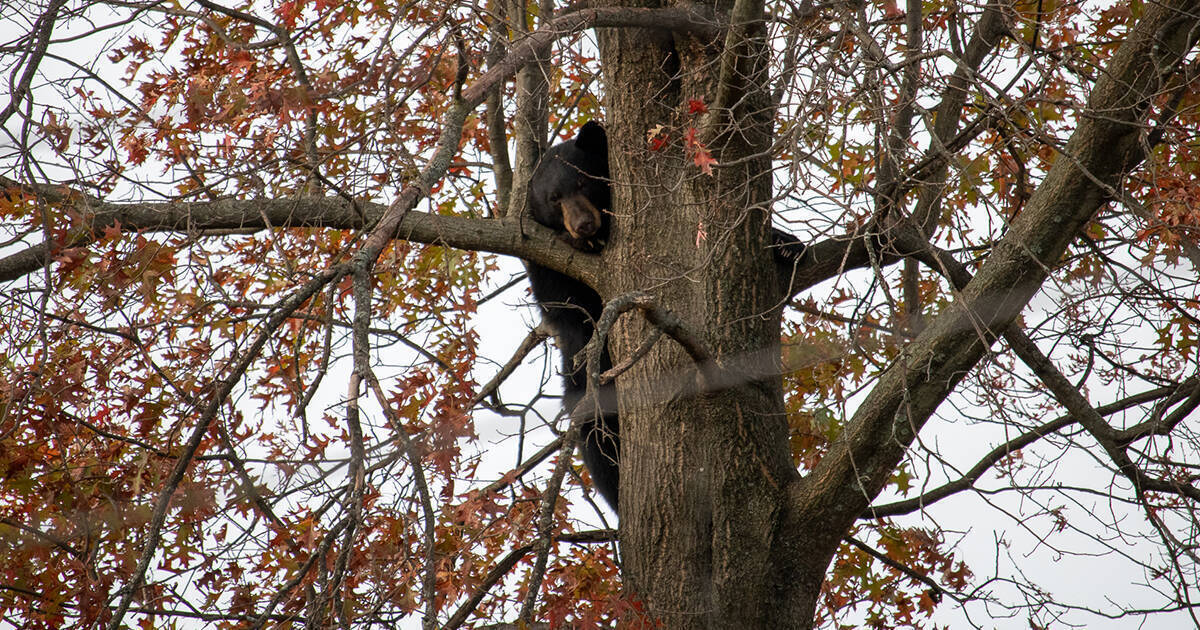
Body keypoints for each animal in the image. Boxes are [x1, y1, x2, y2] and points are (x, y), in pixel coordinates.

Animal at [524, 120, 808, 513]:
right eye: (554, 199)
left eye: (583, 183)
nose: (583, 225)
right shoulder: (542, 261)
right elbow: (564, 301)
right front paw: (584, 245)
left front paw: (787, 244)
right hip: (587, 385)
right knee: (598, 436)